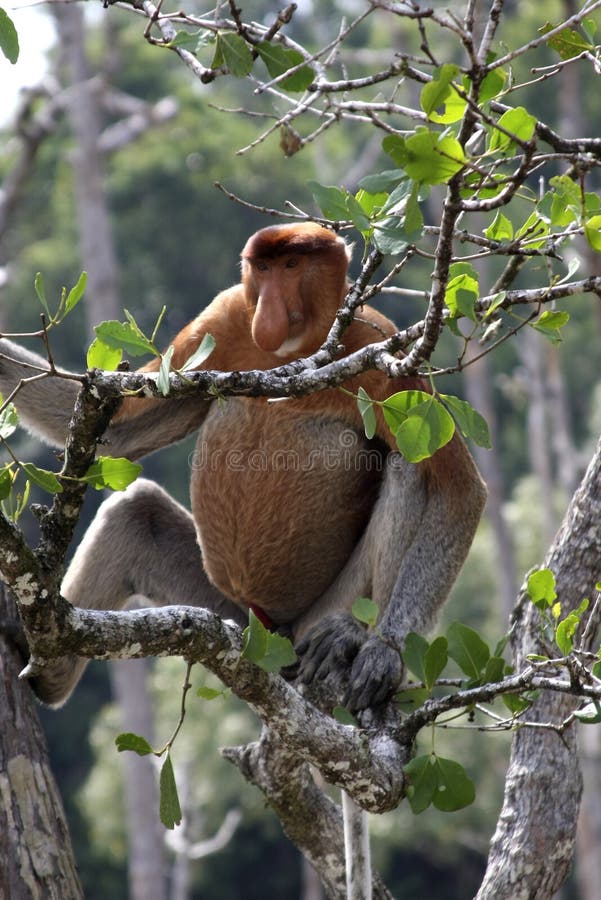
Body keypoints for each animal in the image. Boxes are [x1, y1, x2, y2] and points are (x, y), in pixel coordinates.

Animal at [0, 223, 486, 710]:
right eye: (264, 269)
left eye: (292, 265)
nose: (268, 312)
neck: (297, 352)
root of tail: (277, 632)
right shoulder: (223, 316)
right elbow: (119, 433)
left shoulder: (383, 356)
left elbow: (459, 489)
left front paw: (384, 654)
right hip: (231, 611)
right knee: (136, 510)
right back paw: (47, 664)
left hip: (319, 612)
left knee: (410, 471)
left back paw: (349, 635)